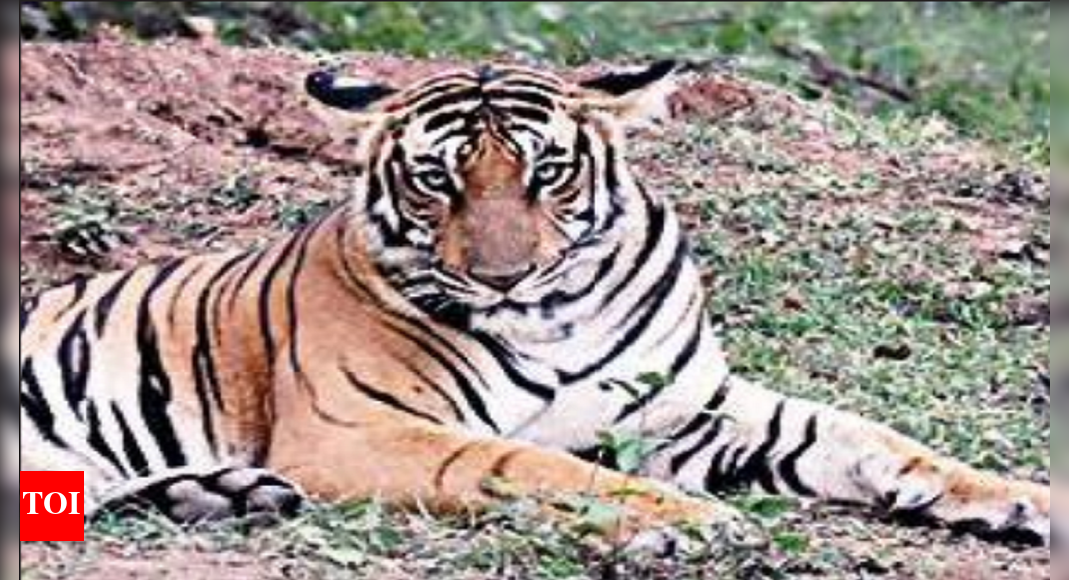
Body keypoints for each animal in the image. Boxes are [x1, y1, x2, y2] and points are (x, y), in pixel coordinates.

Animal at [20, 60, 1051, 549]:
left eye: (546, 172)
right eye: (437, 179)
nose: (502, 276)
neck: (556, 315)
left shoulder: (695, 410)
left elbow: (877, 439)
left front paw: (1028, 501)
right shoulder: (356, 431)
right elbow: (526, 463)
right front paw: (692, 526)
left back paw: (223, 495)